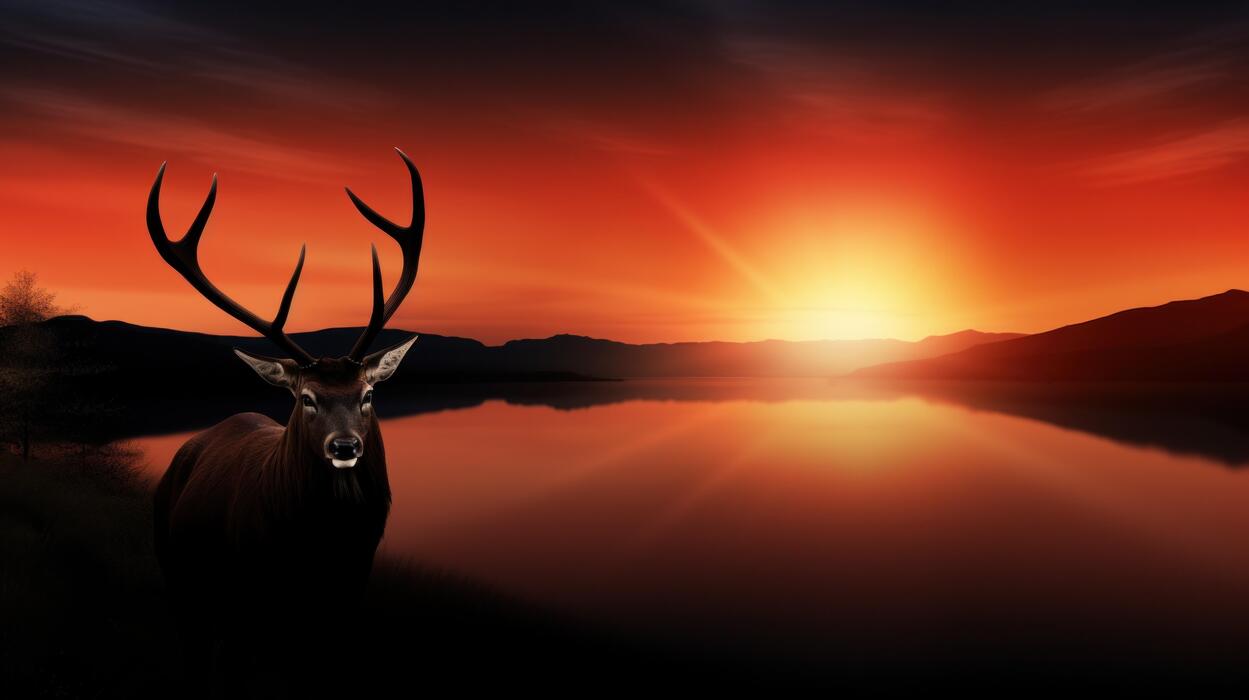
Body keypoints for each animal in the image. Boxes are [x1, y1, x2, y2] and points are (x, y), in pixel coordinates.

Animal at [147, 149, 424, 691]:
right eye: (307, 398)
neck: (315, 552)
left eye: (368, 394)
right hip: (181, 575)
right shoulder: (247, 601)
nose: (345, 447)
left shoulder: (345, 600)